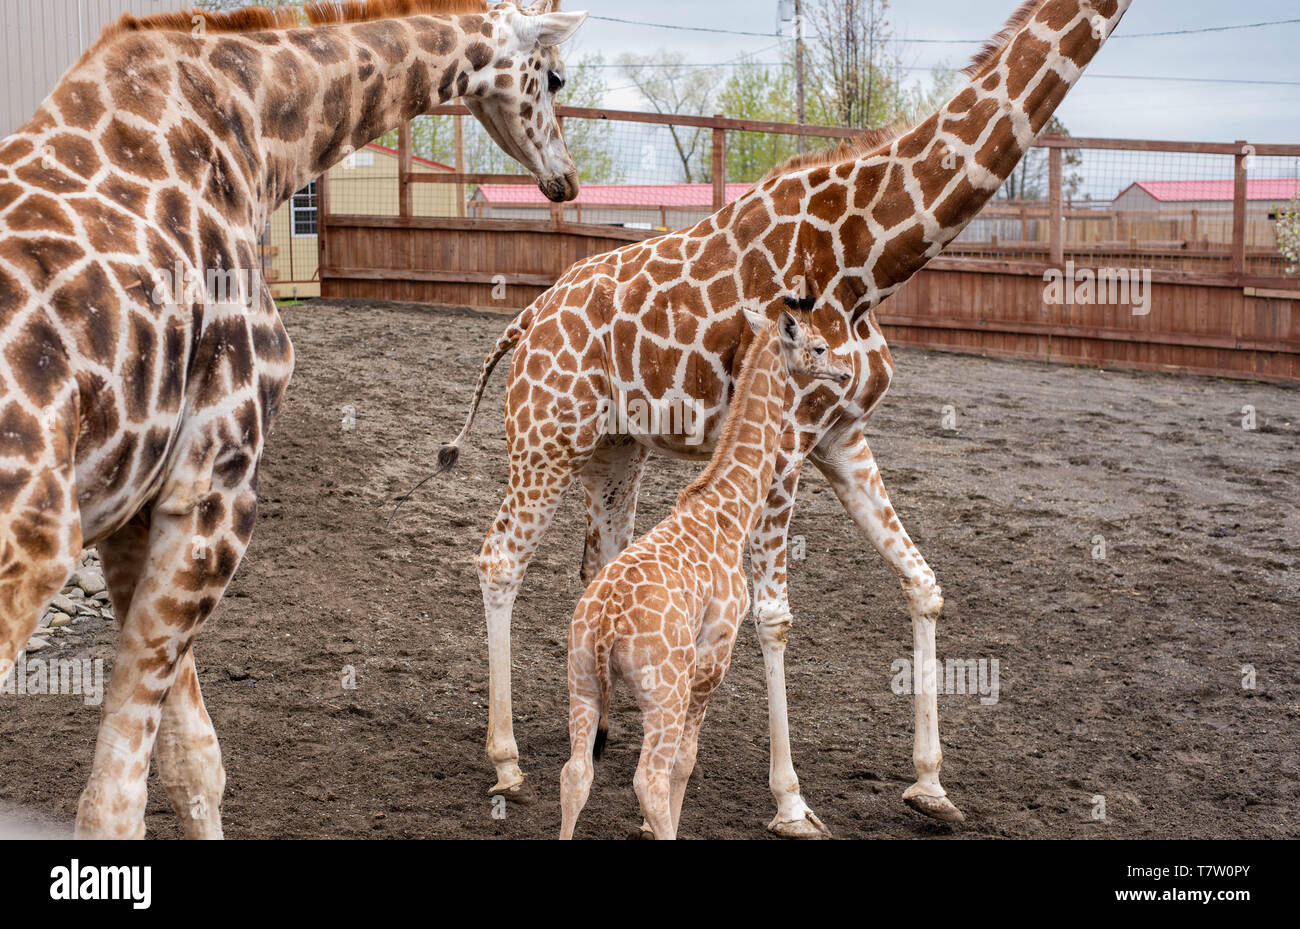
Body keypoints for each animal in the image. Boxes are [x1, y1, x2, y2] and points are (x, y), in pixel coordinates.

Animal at [0, 0, 588, 839]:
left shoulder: (138, 504)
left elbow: (191, 762)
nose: (565, 179)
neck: (251, 129)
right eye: (556, 76)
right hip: (33, 548)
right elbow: (125, 796)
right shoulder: (217, 478)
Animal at [559, 309, 851, 840]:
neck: (728, 509)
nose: (844, 372)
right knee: (649, 778)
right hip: (665, 691)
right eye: (819, 346)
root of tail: (607, 625)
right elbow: (685, 762)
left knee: (576, 773)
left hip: (582, 676)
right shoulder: (714, 653)